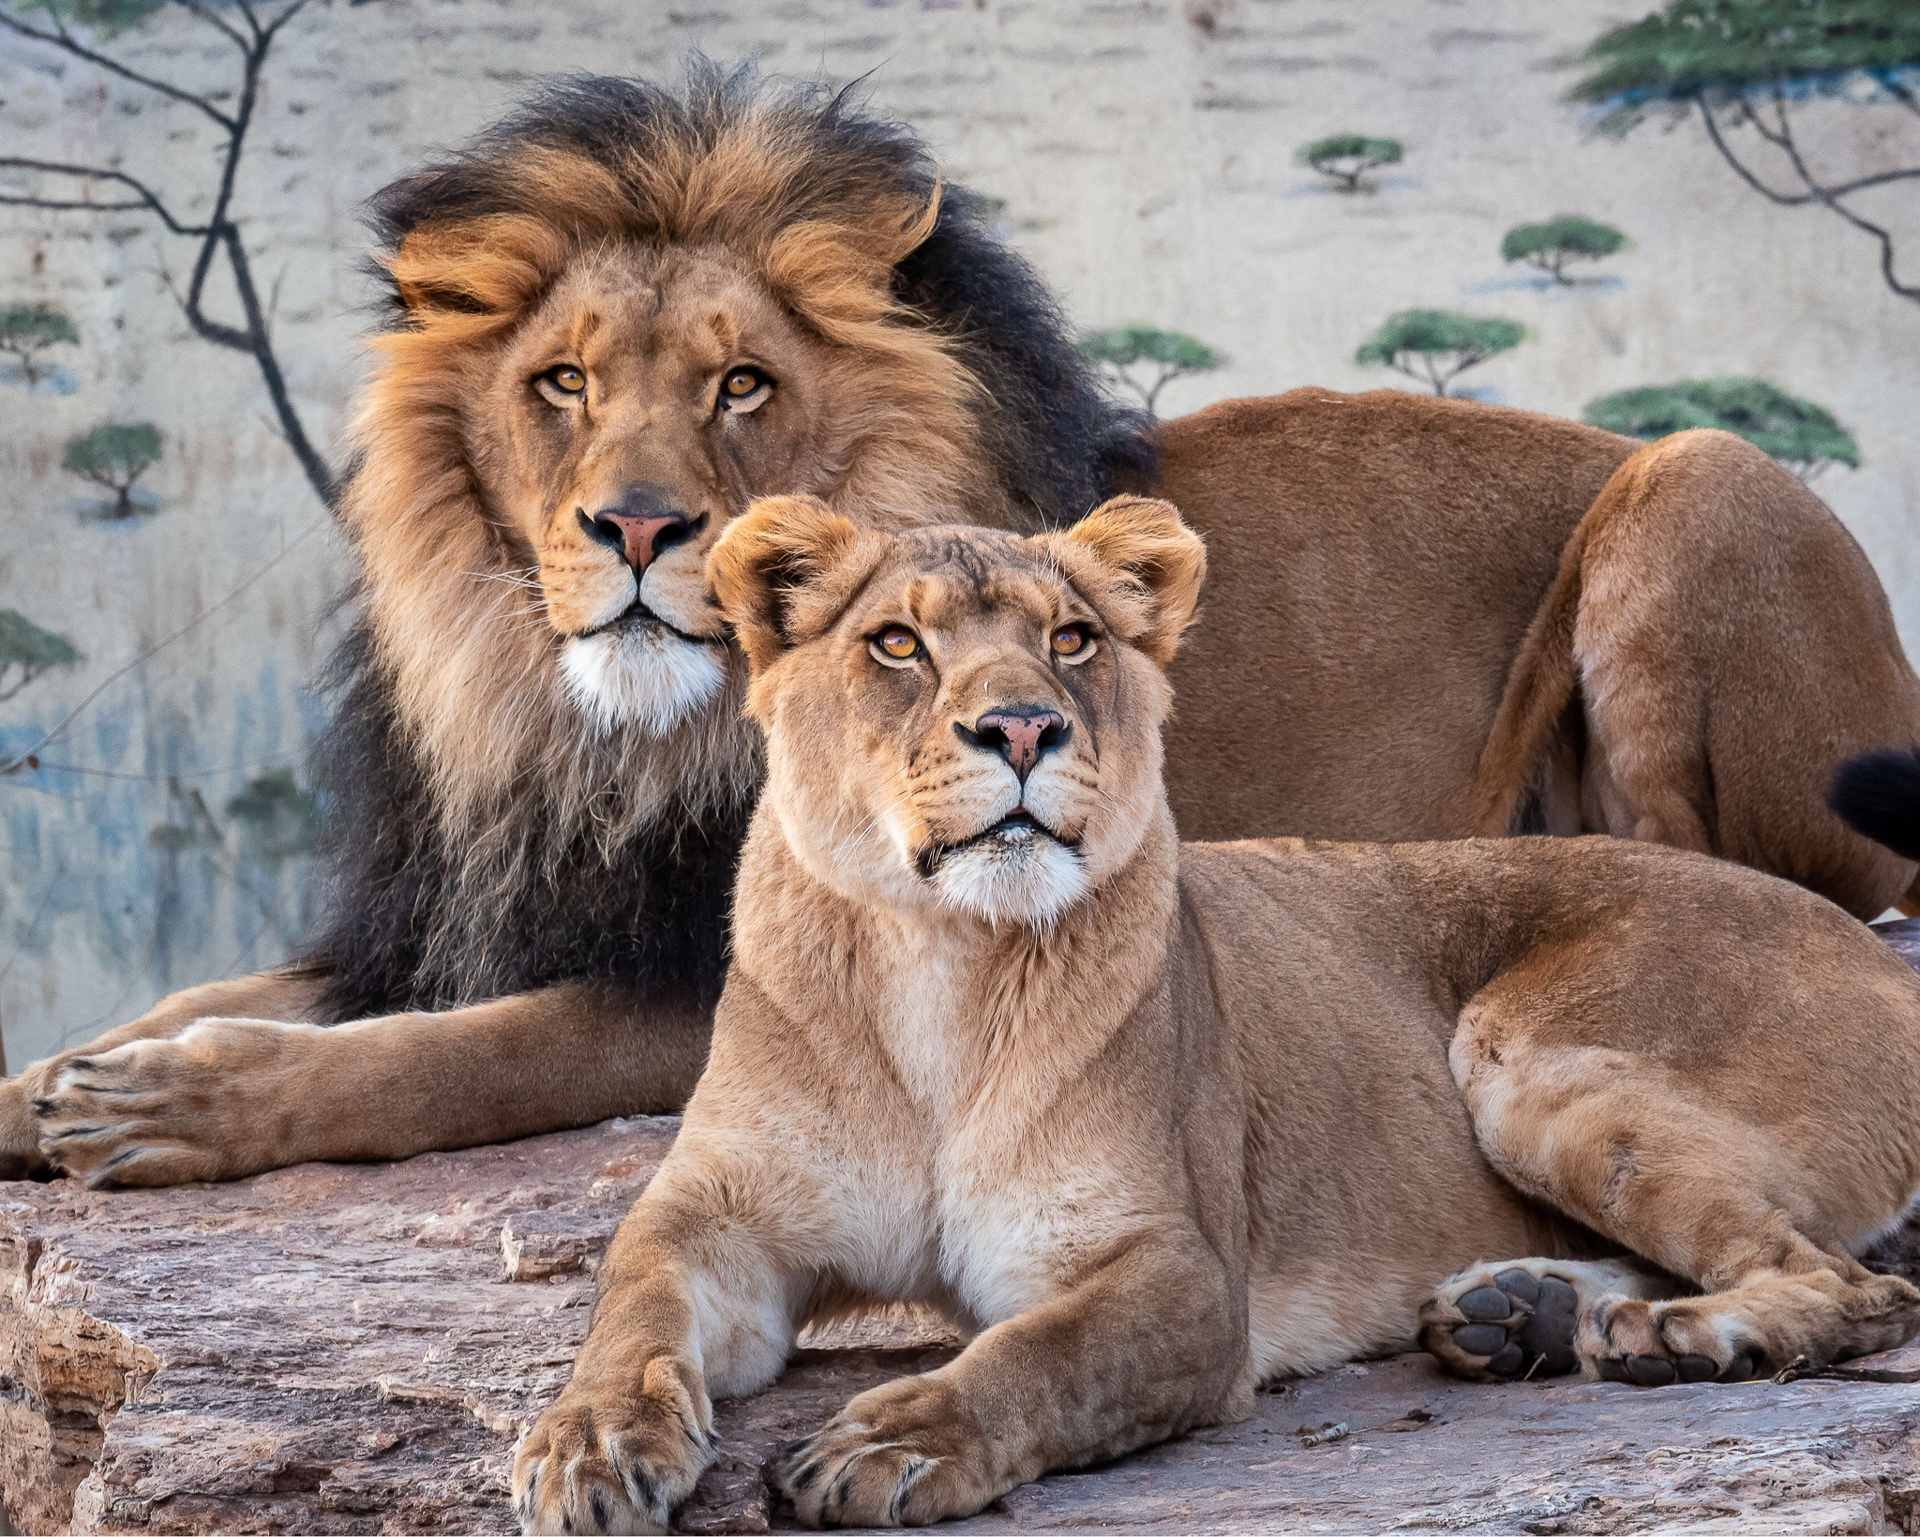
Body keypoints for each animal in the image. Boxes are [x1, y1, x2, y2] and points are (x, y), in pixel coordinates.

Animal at [6, 64, 1917, 1187]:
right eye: (562, 384)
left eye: (743, 387)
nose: (636, 527)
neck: (590, 728)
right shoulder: (453, 912)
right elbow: (230, 989)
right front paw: (59, 1083)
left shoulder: (720, 980)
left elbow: (445, 1057)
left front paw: (178, 1108)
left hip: (1702, 480)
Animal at [512, 495, 1920, 1534]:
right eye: (897, 644)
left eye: (1073, 638)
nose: (1020, 725)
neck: (938, 964)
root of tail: (1877, 945)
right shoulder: (720, 1219)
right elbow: (630, 1304)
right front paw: (586, 1445)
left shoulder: (1178, 1270)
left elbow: (1038, 1357)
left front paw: (897, 1437)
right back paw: (1519, 1314)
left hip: (1530, 1059)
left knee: (1854, 1286)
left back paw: (1676, 1338)